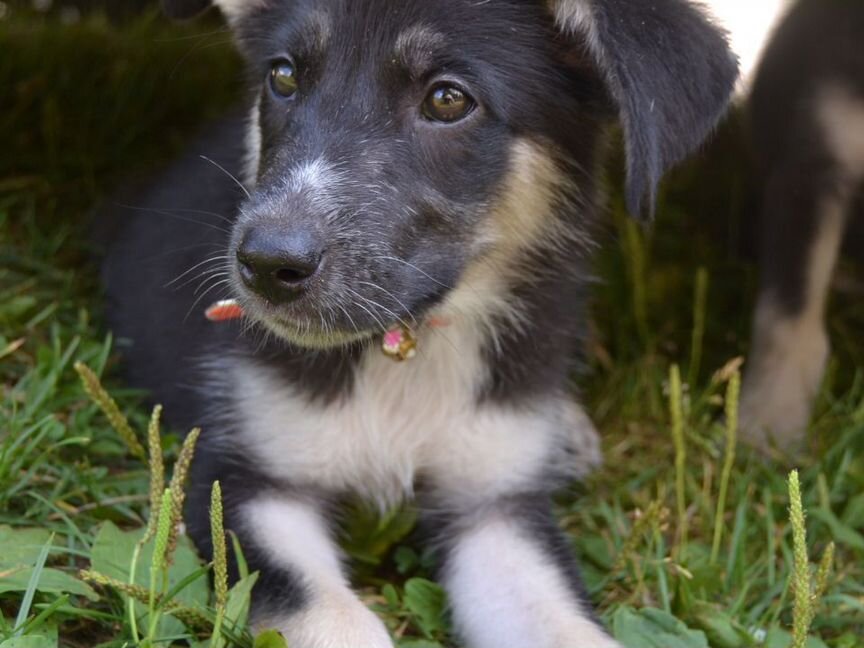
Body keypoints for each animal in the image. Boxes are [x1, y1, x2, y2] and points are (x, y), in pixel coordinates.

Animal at [101, 2, 736, 644]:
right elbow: (332, 615)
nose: (266, 266)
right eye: (282, 76)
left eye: (448, 99)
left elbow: (564, 625)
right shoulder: (243, 479)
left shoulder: (495, 508)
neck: (406, 347)